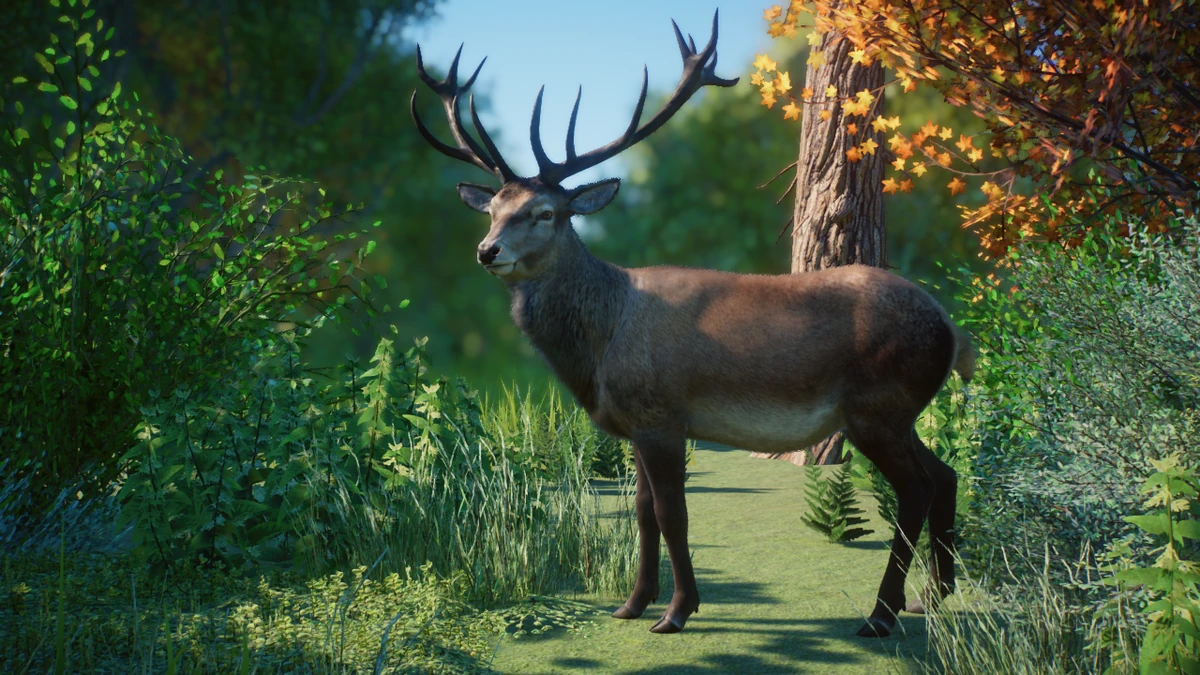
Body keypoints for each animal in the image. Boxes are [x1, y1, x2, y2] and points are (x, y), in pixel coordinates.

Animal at [410, 10, 974, 637]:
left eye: (545, 212)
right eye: (491, 209)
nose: (488, 251)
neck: (602, 344)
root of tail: (951, 329)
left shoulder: (662, 414)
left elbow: (672, 512)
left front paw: (677, 611)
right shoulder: (632, 423)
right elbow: (640, 512)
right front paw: (632, 603)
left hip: (876, 405)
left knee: (917, 487)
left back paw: (881, 614)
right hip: (898, 410)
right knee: (945, 474)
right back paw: (933, 595)